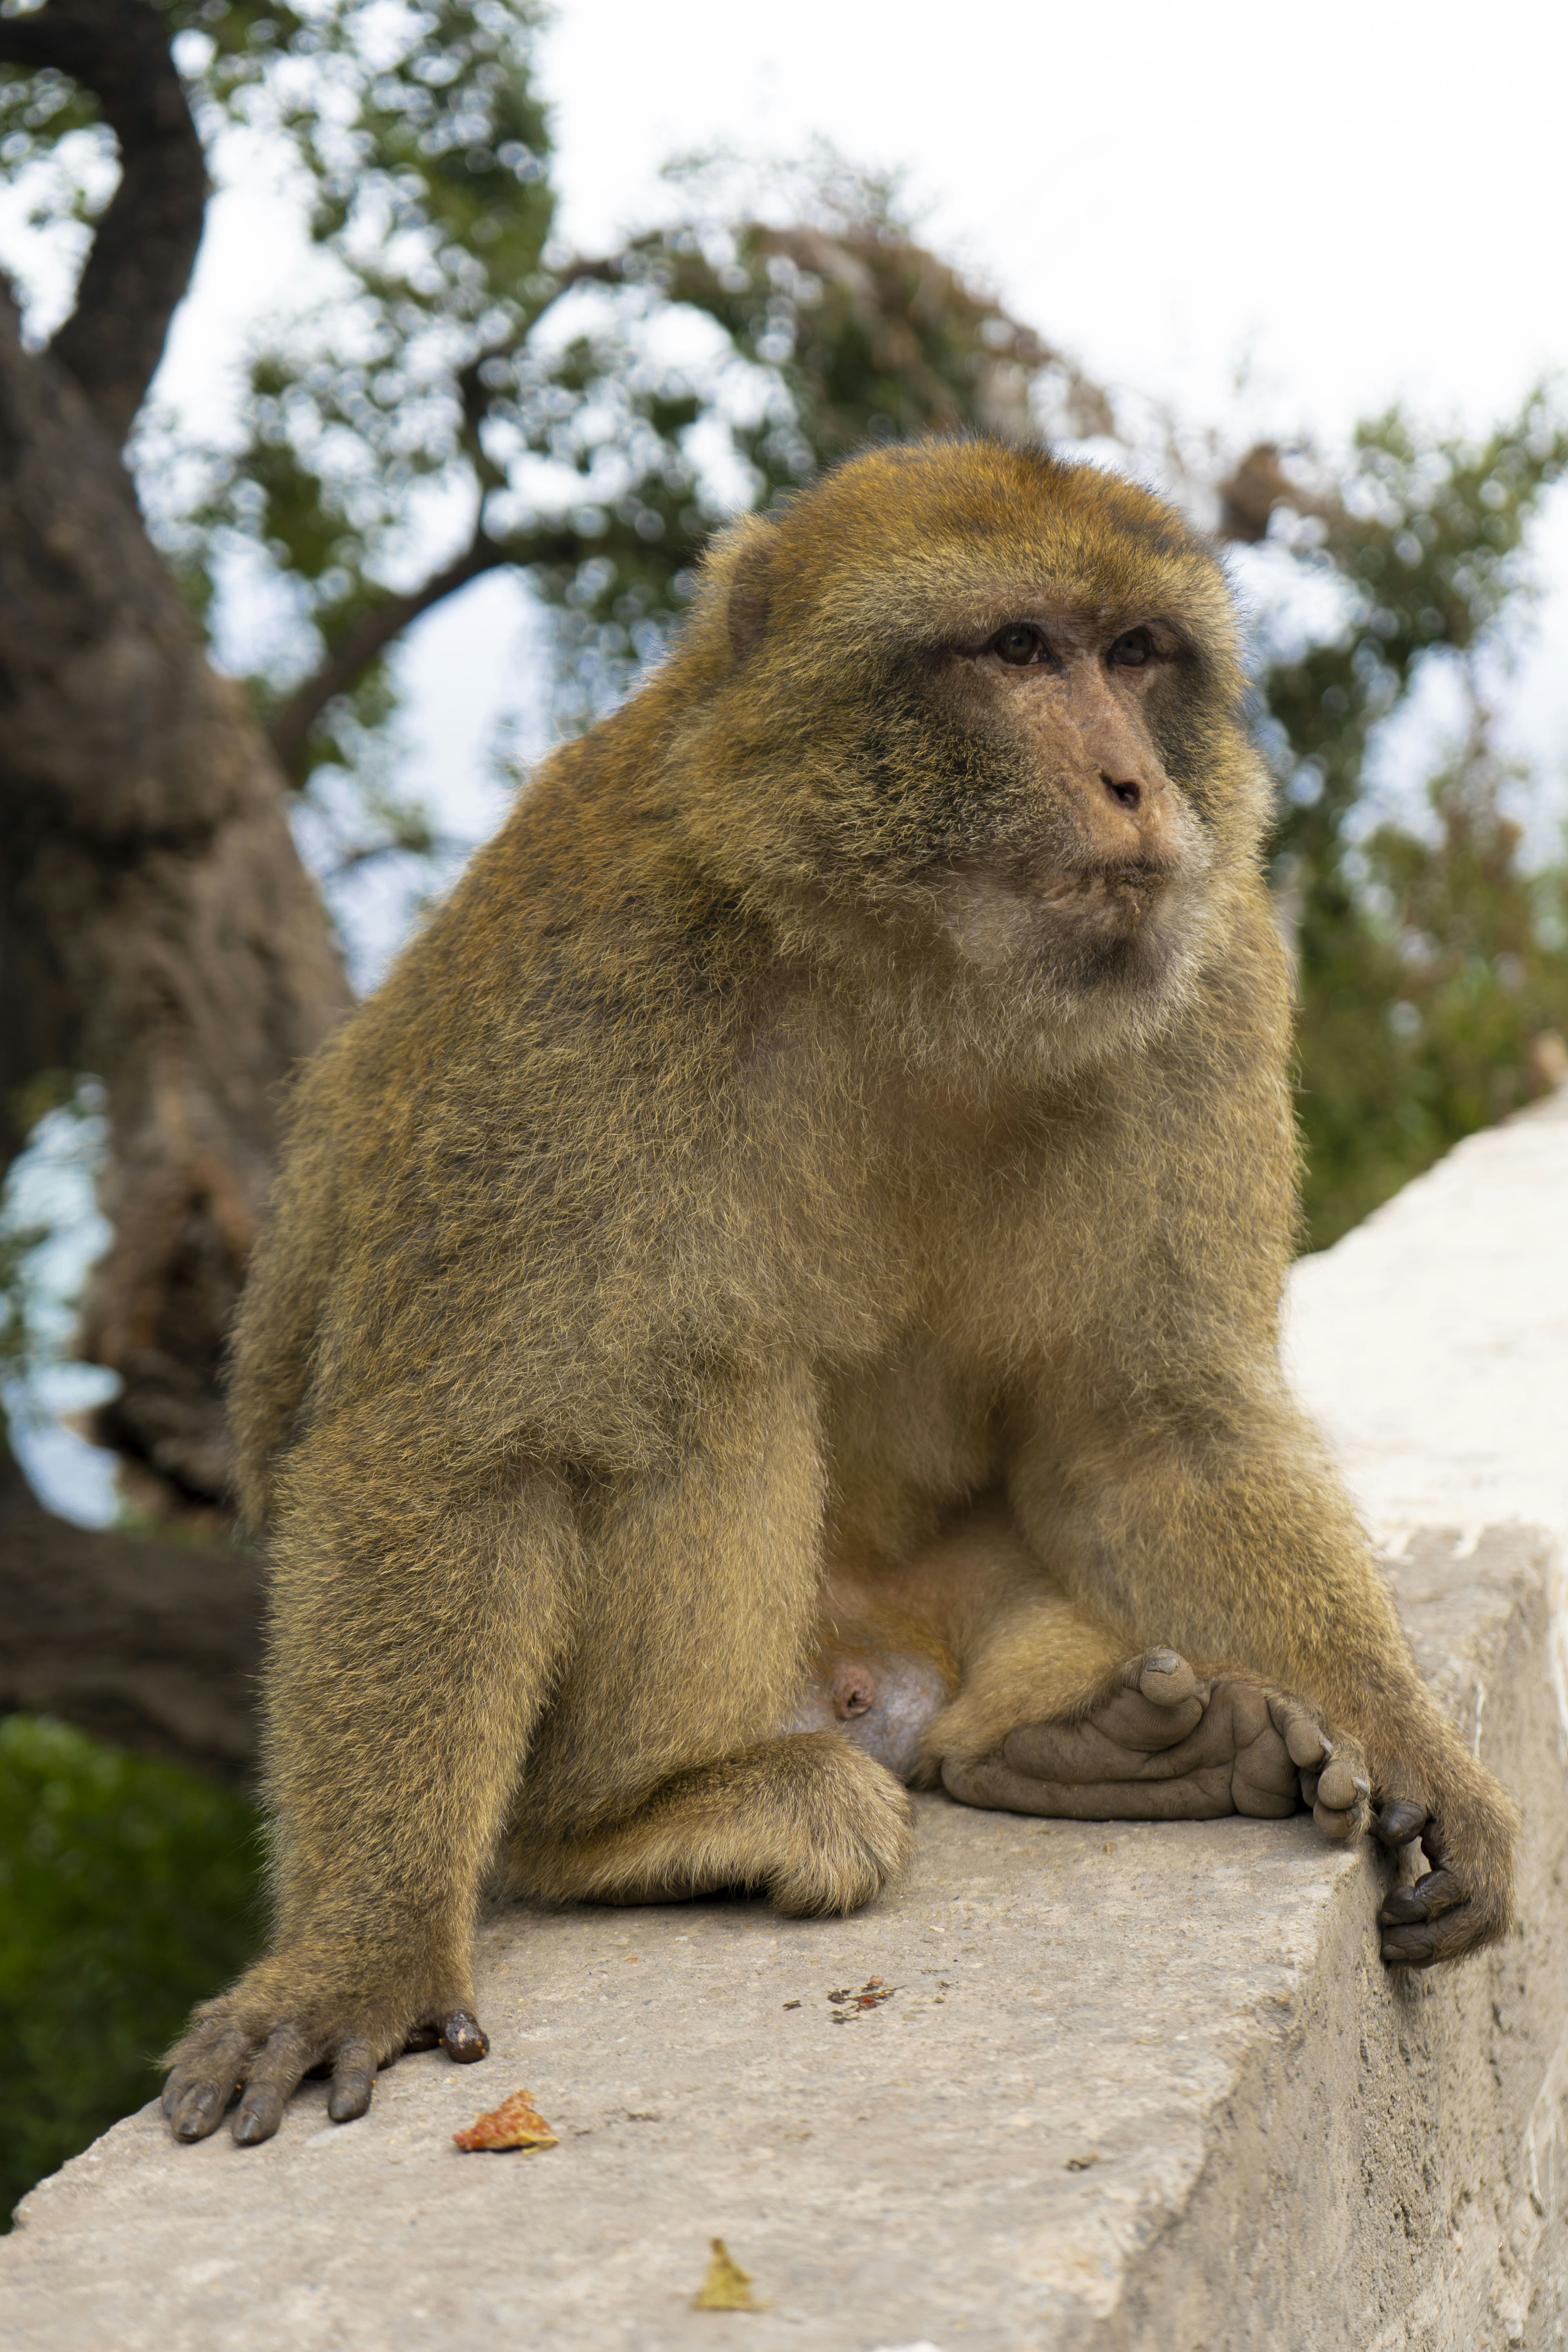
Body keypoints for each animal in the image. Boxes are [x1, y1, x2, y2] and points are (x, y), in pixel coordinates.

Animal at [162, 438, 1518, 2151]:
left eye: (1140, 657)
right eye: (1019, 652)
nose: (1134, 784)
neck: (910, 964)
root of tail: (880, 1679)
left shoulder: (1210, 979)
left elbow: (1159, 1426)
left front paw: (1421, 1761)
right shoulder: (587, 984)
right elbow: (462, 1452)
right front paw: (364, 1953)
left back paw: (1103, 1743)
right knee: (694, 1384)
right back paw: (644, 1820)